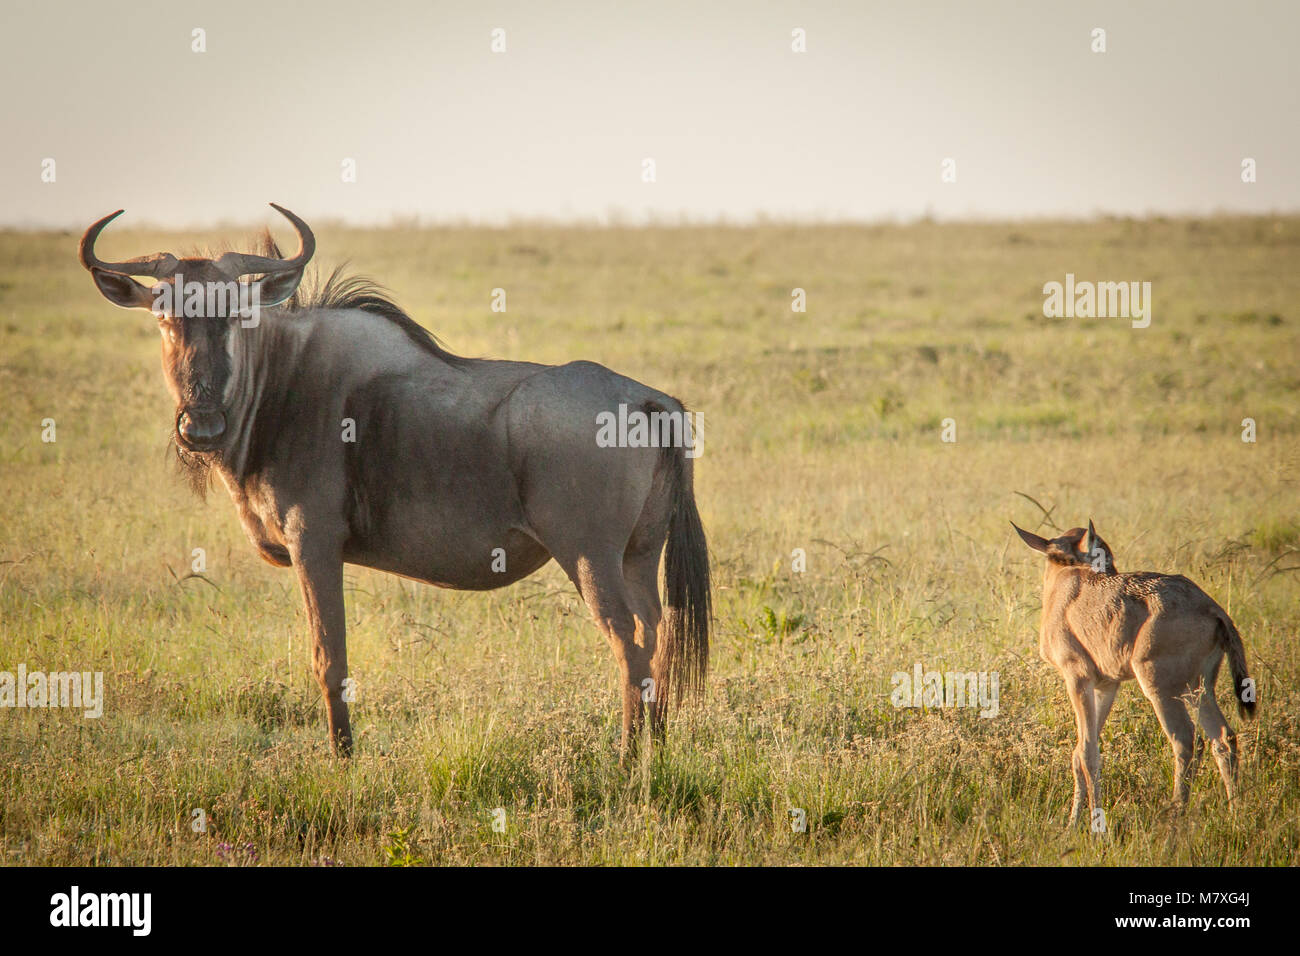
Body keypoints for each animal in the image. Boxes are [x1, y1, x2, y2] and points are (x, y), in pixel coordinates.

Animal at [80, 204, 711, 760]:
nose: (202, 426)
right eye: (164, 317)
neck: (280, 382)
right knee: (657, 635)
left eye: (235, 317)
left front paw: (343, 760)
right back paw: (657, 752)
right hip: (637, 557)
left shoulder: (315, 544)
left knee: (628, 641)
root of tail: (648, 399)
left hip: (588, 557)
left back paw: (626, 761)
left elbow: (329, 658)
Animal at [1012, 521, 1255, 826]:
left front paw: (1096, 826)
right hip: (1197, 688)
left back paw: (1175, 817)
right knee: (1223, 737)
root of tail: (1212, 608)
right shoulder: (1106, 685)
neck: (1068, 585)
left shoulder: (1077, 679)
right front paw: (1072, 824)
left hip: (1160, 688)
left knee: (1186, 740)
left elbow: (1088, 751)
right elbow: (1079, 752)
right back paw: (1236, 814)